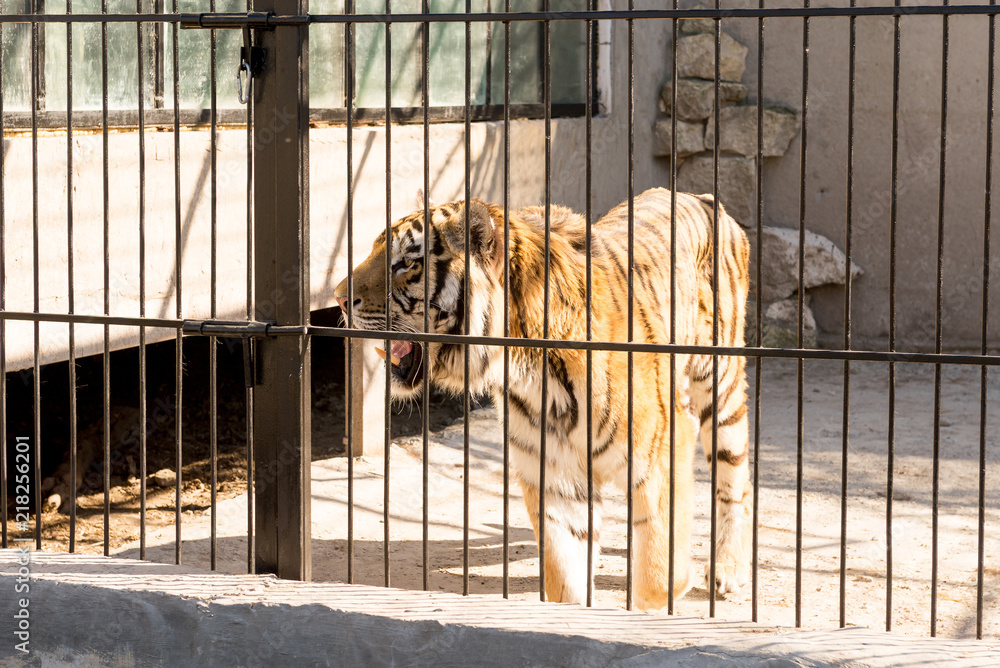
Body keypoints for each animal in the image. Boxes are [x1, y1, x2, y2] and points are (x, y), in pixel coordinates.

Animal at [333, 187, 753, 609]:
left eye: (406, 263)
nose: (338, 299)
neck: (528, 366)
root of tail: (699, 196)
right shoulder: (554, 471)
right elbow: (565, 575)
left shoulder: (662, 450)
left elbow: (659, 575)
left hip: (720, 385)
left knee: (735, 482)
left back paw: (727, 570)